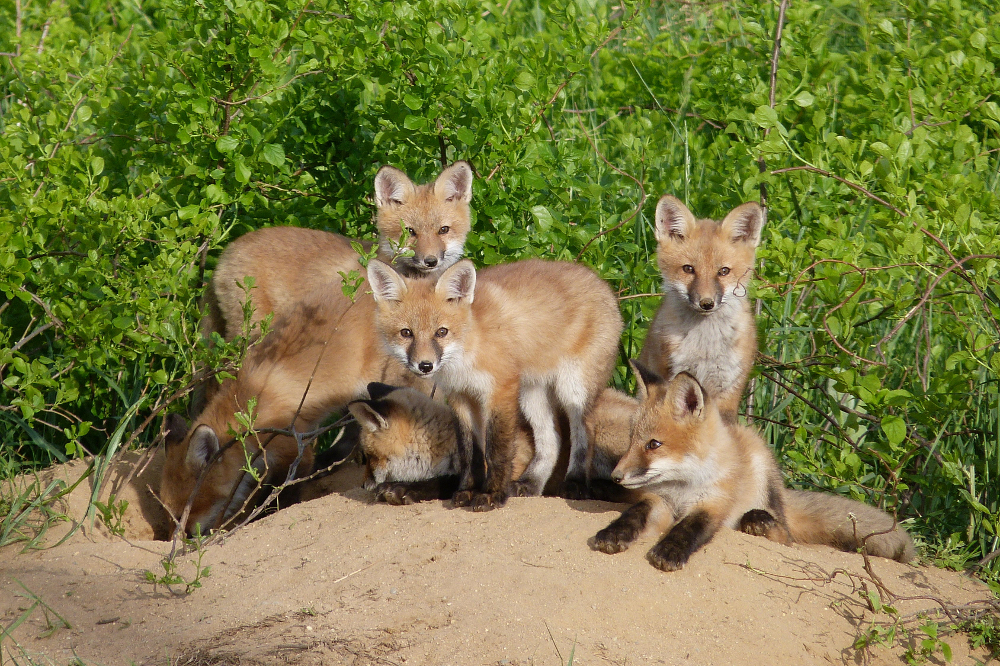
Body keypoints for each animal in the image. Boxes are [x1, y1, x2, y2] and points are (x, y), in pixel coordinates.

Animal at [367, 258, 624, 511]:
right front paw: (468, 491)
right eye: (406, 333)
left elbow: (496, 451)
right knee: (553, 440)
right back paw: (530, 483)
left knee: (585, 433)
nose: (425, 365)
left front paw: (492, 494)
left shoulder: (500, 390)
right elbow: (469, 452)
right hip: (531, 395)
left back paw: (576, 482)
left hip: (572, 389)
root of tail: (601, 281)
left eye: (441, 332)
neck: (468, 348)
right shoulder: (460, 395)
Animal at [590, 362, 915, 571]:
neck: (684, 486)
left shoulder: (714, 504)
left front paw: (670, 551)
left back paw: (761, 522)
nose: (616, 476)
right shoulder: (660, 500)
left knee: (786, 537)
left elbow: (690, 528)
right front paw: (613, 534)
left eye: (654, 444)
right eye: (632, 439)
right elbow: (634, 514)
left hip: (764, 476)